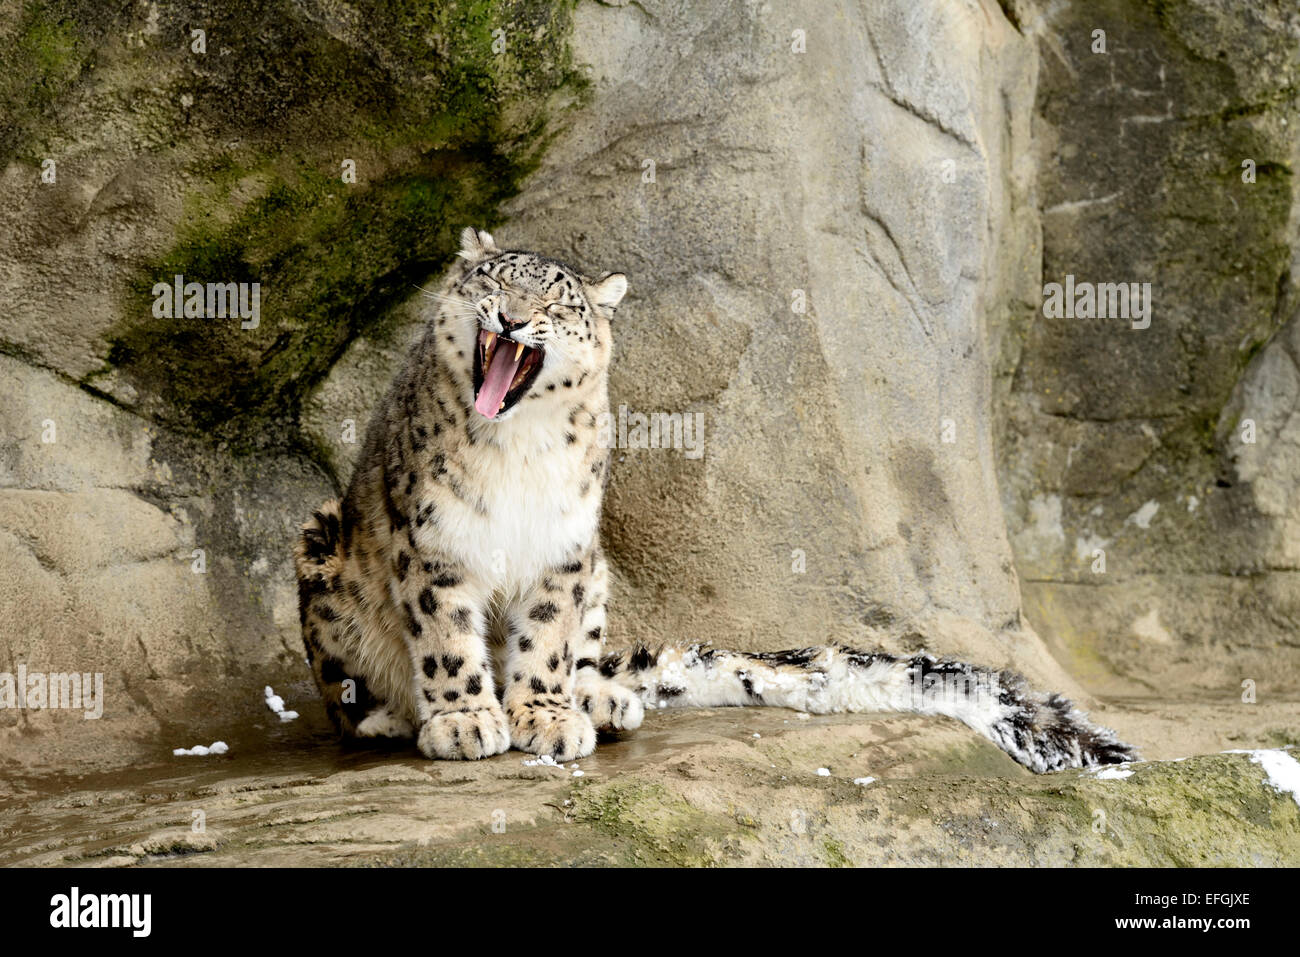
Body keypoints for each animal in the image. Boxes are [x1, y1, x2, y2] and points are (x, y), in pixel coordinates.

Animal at [293, 227, 1137, 773]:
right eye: (494, 282)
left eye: (556, 305)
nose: (512, 317)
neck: (517, 448)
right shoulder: (437, 544)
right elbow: (448, 639)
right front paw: (468, 718)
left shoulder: (565, 552)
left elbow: (546, 642)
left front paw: (546, 716)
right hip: (324, 544)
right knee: (347, 691)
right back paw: (391, 714)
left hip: (599, 570)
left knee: (591, 655)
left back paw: (603, 701)